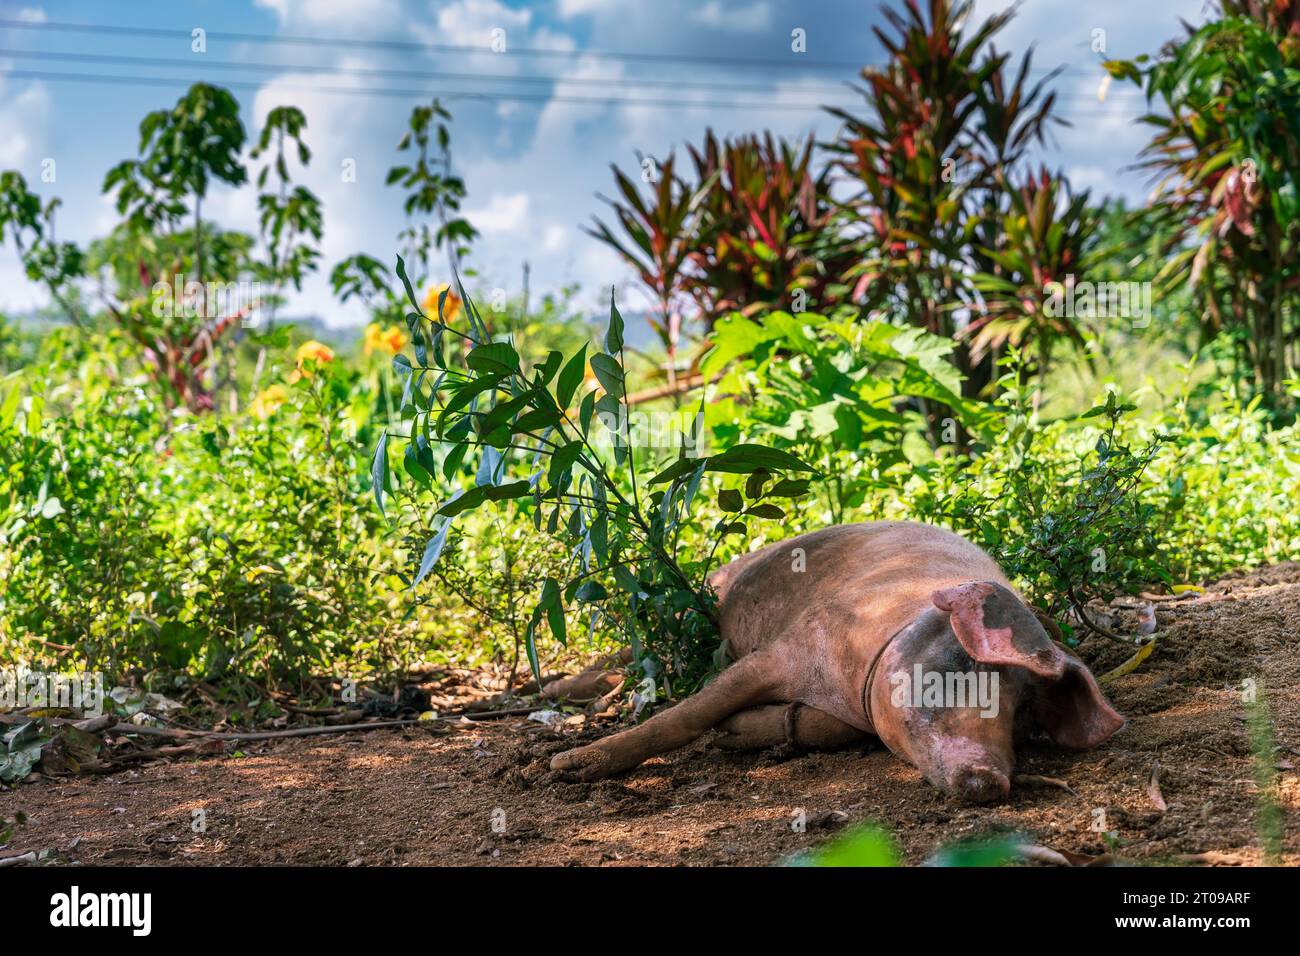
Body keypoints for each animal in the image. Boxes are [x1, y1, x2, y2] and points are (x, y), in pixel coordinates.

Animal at [550, 522, 1125, 802]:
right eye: (967, 672)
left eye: (1024, 713)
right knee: (641, 655)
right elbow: (687, 714)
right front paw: (563, 769)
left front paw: (736, 733)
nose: (991, 780)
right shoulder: (785, 648)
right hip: (700, 601)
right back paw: (561, 700)